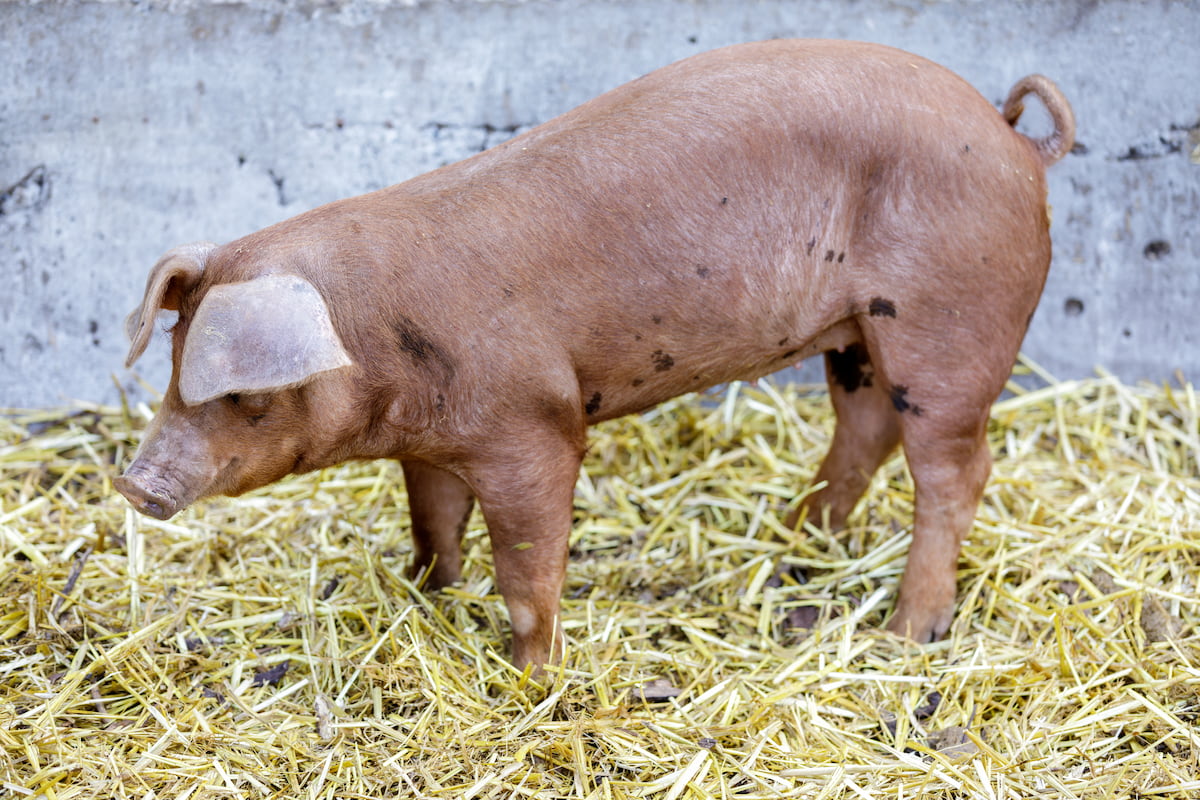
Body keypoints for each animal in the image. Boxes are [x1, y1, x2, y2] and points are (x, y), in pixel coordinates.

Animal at [115, 39, 1075, 670]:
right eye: (171, 366)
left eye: (246, 396)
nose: (136, 482)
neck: (381, 345)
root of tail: (1012, 136)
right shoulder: (433, 446)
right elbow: (432, 523)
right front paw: (427, 595)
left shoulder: (532, 429)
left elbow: (527, 562)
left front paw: (528, 675)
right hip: (857, 337)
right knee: (866, 433)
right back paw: (797, 542)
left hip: (950, 322)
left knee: (955, 471)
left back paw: (907, 635)